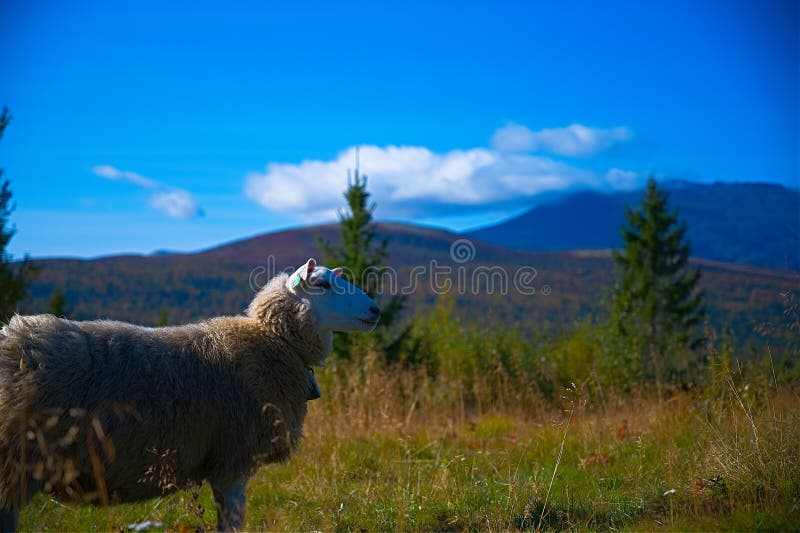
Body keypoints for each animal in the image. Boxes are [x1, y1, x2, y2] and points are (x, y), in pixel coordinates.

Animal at [0, 258, 380, 532]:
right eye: (323, 284)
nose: (376, 310)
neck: (273, 343)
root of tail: (12, 335)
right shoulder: (233, 460)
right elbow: (231, 525)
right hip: (16, 459)